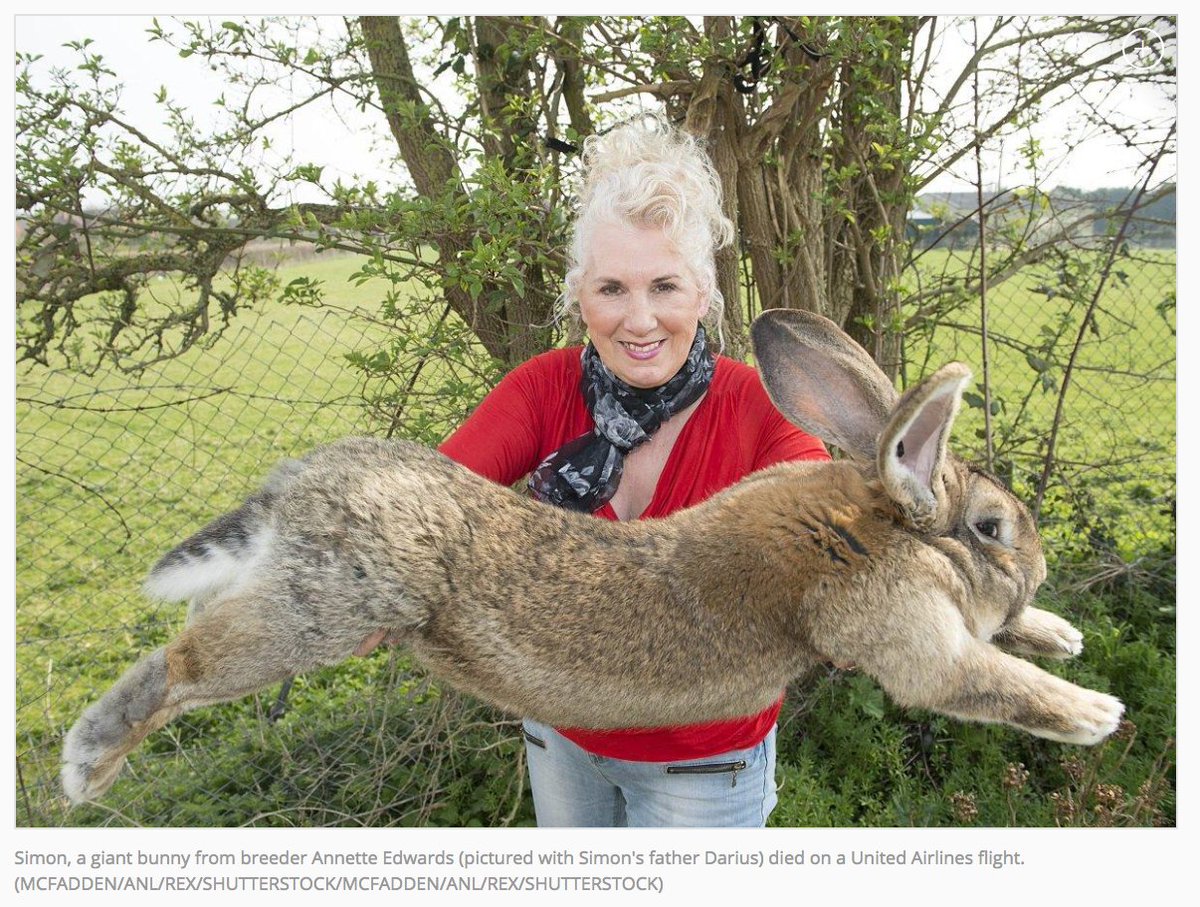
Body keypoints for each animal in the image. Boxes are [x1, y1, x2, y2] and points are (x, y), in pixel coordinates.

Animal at [61, 309, 1124, 805]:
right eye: (993, 528)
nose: (1037, 568)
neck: (877, 523)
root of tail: (297, 487)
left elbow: (1005, 646)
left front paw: (1060, 633)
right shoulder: (908, 635)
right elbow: (980, 679)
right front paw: (1094, 711)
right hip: (316, 614)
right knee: (180, 664)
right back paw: (86, 768)